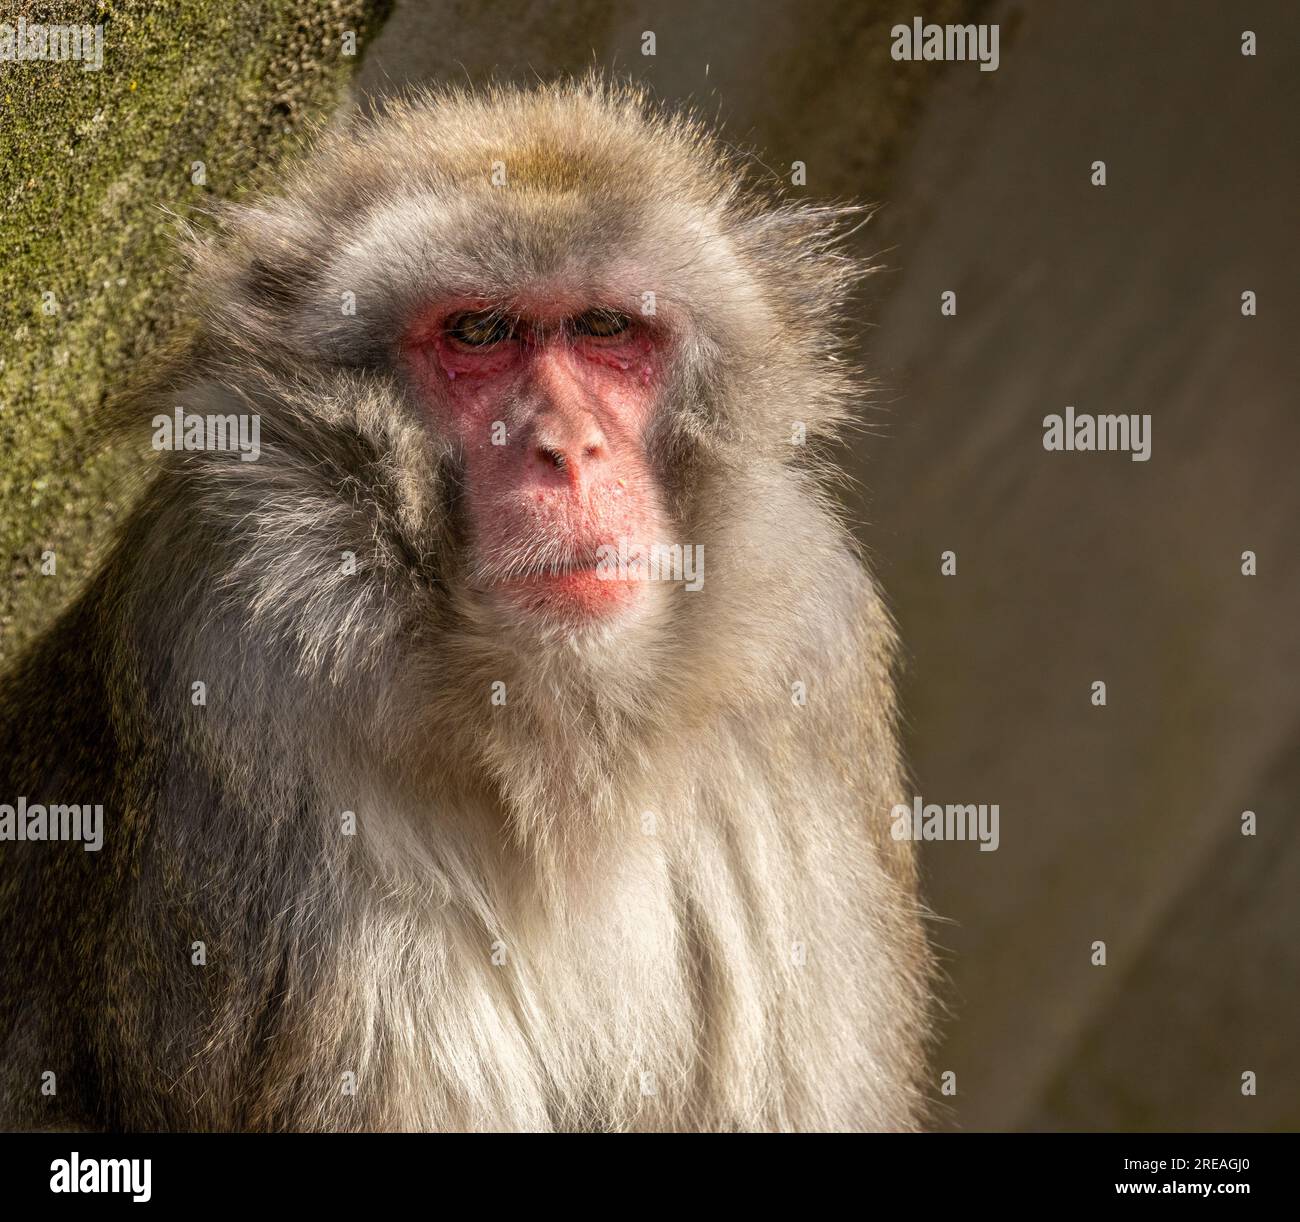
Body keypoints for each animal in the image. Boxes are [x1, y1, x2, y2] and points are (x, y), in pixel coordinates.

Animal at [0, 77, 931, 1132]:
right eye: (479, 333)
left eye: (606, 330)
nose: (569, 450)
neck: (552, 730)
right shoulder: (226, 652)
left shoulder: (808, 674)